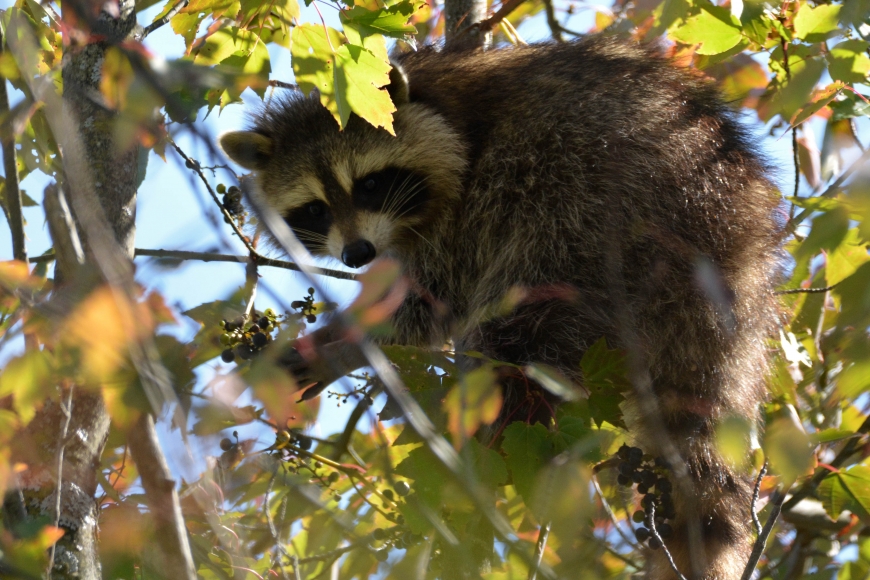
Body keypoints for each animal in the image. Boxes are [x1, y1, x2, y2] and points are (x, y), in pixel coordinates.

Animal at [220, 37, 780, 579]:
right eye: (315, 209)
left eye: (370, 184)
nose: (357, 254)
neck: (447, 107)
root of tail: (732, 241)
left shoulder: (473, 201)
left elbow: (427, 305)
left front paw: (346, 342)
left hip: (601, 212)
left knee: (522, 327)